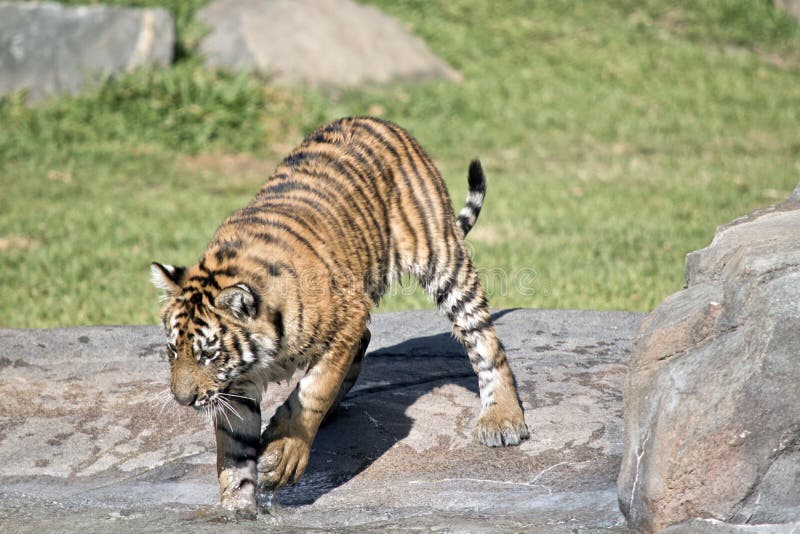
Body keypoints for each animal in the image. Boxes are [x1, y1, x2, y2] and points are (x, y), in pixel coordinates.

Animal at [150, 116, 530, 515]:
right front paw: (237, 507)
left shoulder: (343, 321)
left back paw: (503, 420)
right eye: (173, 351)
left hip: (441, 257)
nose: (182, 400)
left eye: (209, 354)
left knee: (483, 339)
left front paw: (284, 456)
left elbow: (313, 392)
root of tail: (376, 120)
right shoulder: (235, 382)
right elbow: (234, 452)